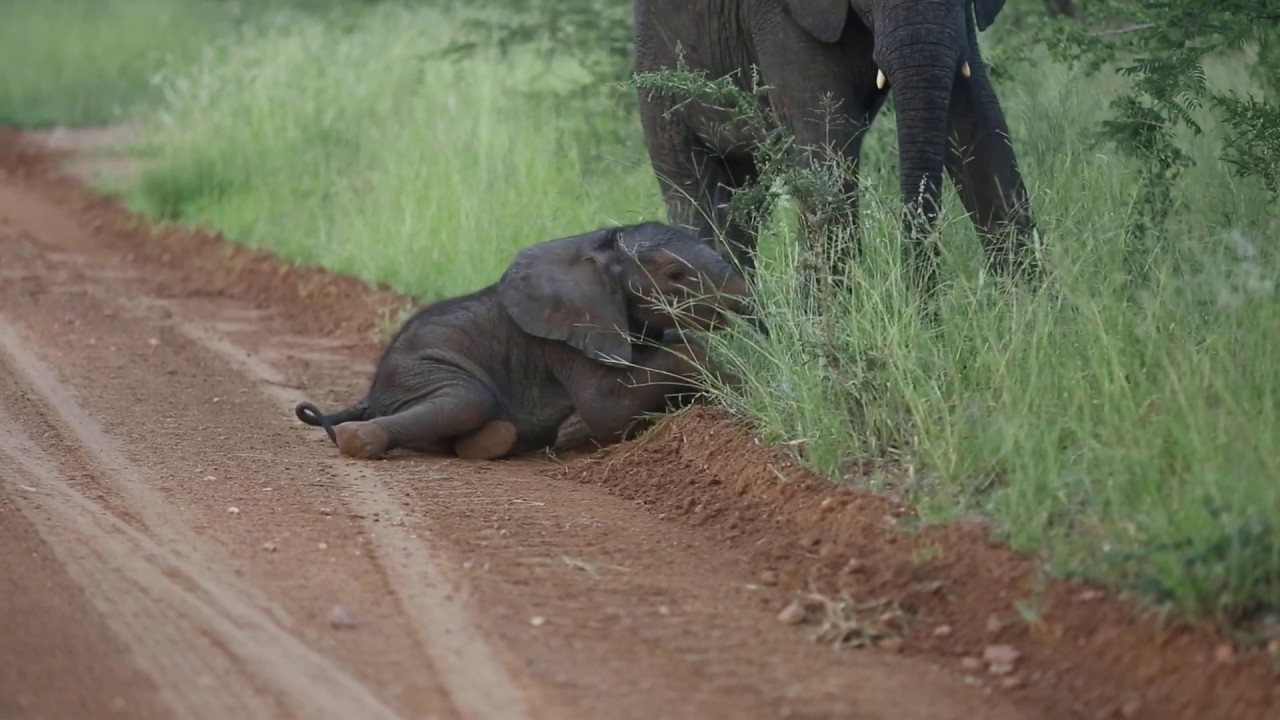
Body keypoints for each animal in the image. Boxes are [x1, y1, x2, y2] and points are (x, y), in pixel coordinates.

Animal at [294, 221, 757, 461]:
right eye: (676, 275)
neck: (598, 247)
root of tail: (371, 393)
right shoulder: (564, 338)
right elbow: (605, 405)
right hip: (418, 370)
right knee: (468, 399)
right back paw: (358, 440)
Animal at [634, 0, 1040, 290]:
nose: (928, 316)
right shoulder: (778, 15)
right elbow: (828, 141)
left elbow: (978, 119)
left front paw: (1033, 312)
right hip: (658, 71)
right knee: (693, 196)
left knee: (741, 205)